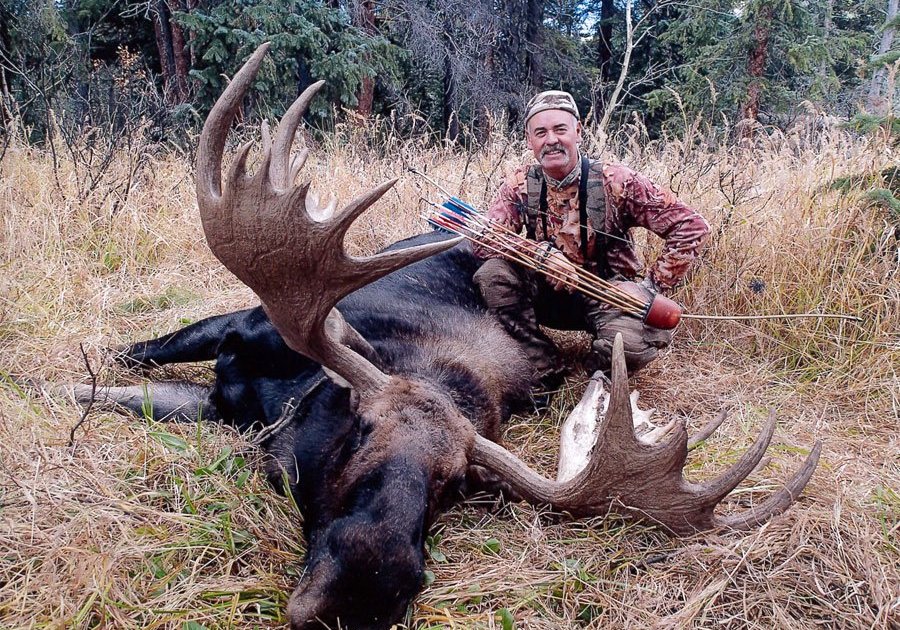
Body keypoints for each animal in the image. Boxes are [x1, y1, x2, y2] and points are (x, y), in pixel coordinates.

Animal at [62, 44, 821, 629]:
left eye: (456, 485)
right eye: (358, 428)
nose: (361, 595)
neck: (292, 392)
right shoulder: (237, 330)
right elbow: (123, 361)